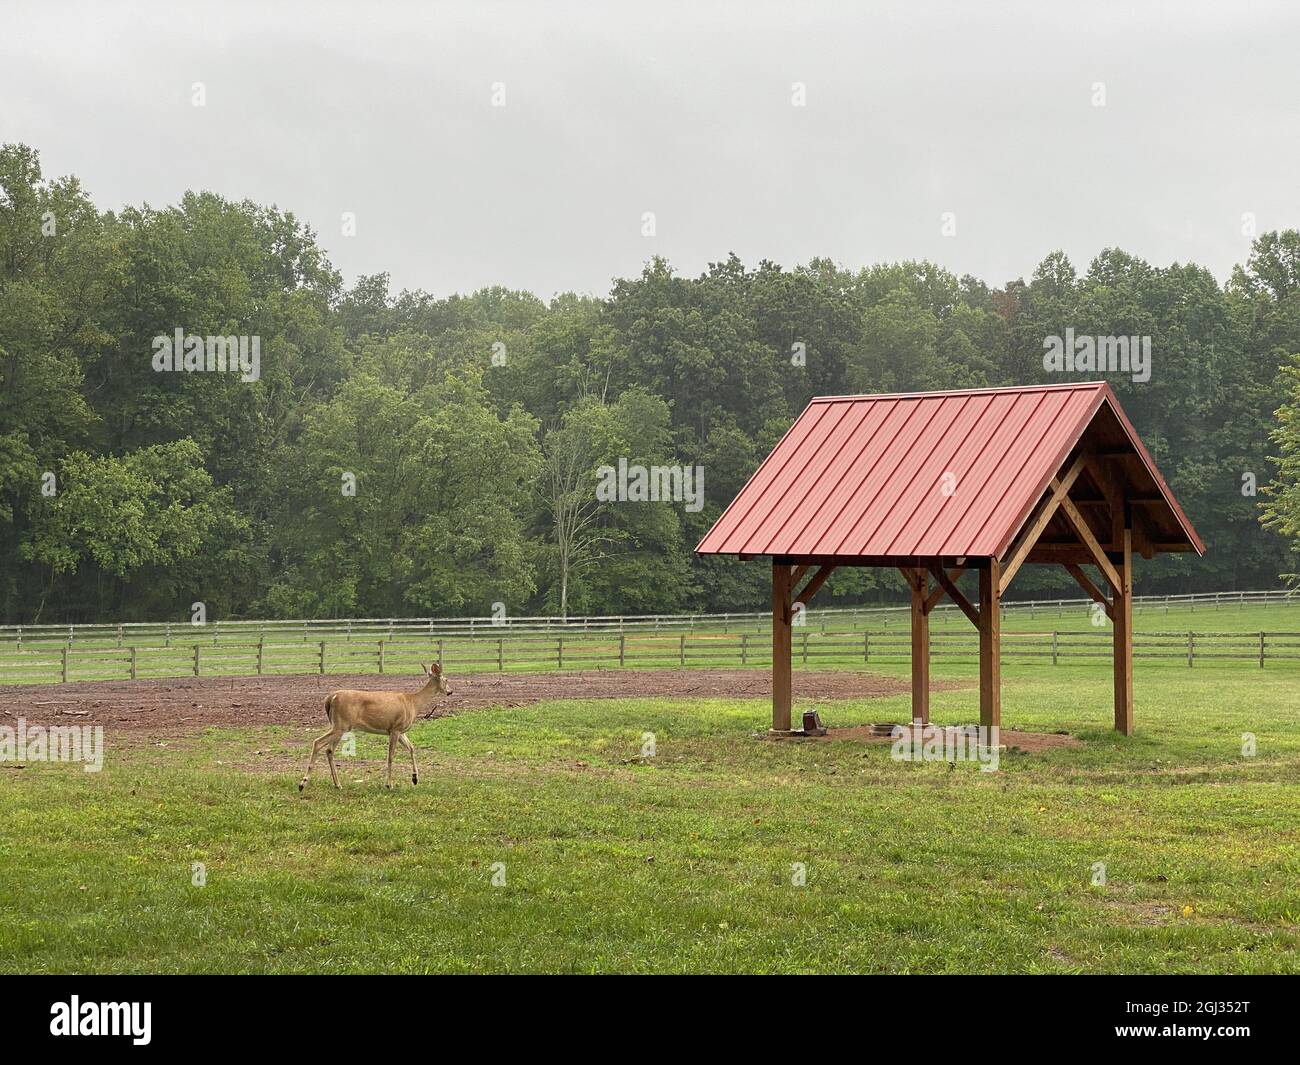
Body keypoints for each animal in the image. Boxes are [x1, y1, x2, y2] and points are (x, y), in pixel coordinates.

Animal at [299, 663, 452, 791]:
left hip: (339, 726)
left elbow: (412, 748)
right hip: (340, 724)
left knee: (329, 750)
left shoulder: (400, 730)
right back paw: (303, 783)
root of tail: (331, 698)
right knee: (317, 742)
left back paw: (337, 784)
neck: (413, 703)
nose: (450, 692)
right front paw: (389, 784)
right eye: (446, 679)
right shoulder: (395, 729)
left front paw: (414, 778)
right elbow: (390, 756)